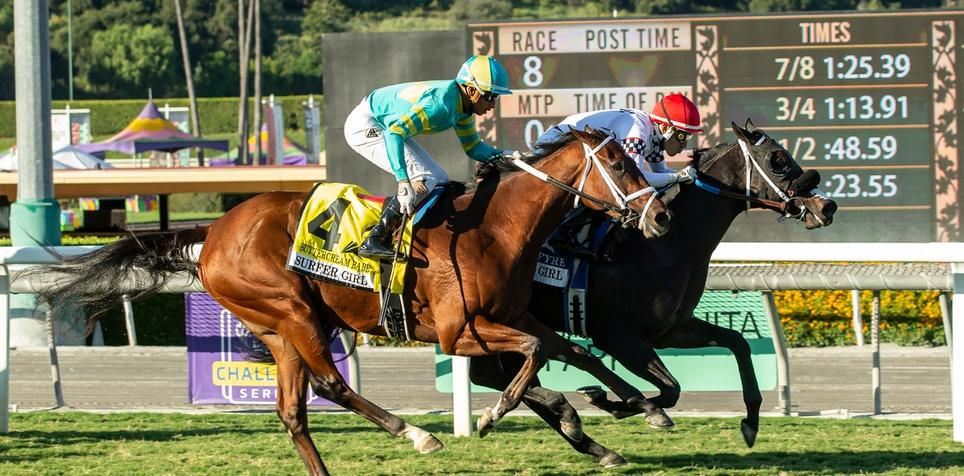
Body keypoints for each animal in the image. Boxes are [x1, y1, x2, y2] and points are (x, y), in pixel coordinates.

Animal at [31, 127, 674, 475]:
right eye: (617, 162)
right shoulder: (459, 330)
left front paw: (636, 408)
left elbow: (571, 350)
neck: (496, 229)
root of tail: (213, 231)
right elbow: (537, 356)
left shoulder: (512, 314)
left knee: (293, 410)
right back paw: (414, 433)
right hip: (291, 310)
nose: (661, 217)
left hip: (276, 327)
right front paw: (493, 415)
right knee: (330, 385)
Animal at [467, 120, 838, 466]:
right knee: (496, 374)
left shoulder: (671, 329)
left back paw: (592, 444)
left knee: (490, 374)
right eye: (778, 160)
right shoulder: (619, 337)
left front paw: (750, 424)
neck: (664, 243)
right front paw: (613, 402)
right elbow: (670, 389)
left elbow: (737, 343)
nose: (827, 206)